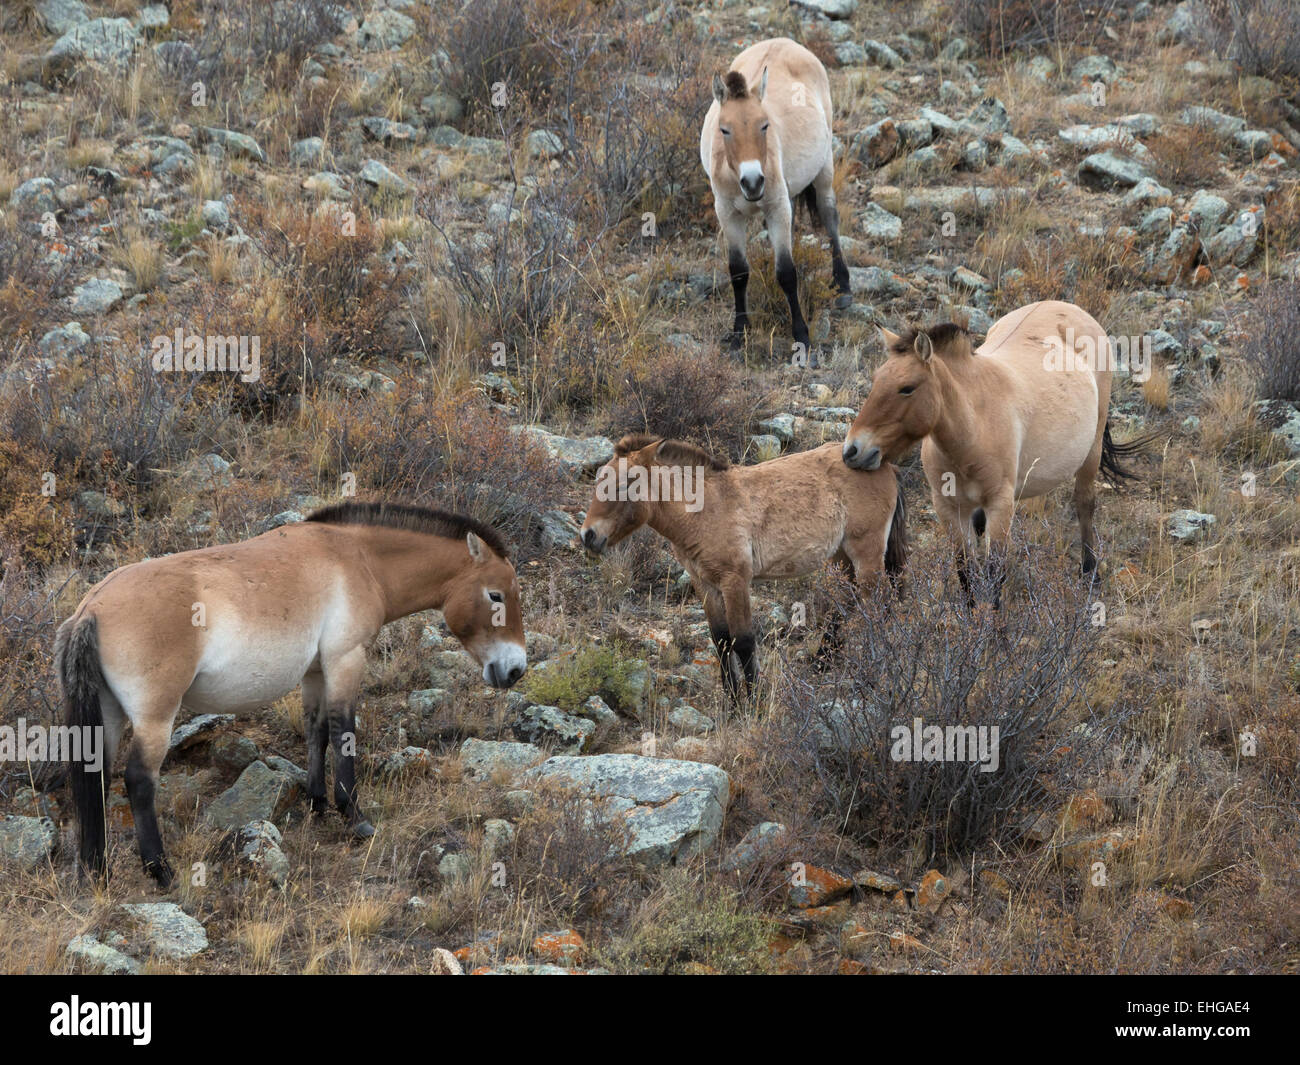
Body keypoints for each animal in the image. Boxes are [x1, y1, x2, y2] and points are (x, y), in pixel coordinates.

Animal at [56, 502, 526, 888]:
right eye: (495, 595)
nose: (515, 669)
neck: (358, 559)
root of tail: (91, 608)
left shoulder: (316, 670)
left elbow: (316, 730)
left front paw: (317, 803)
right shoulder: (345, 659)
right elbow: (343, 731)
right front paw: (354, 818)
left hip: (110, 713)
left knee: (97, 773)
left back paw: (96, 870)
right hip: (155, 715)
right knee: (139, 780)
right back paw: (160, 871)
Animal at [580, 434, 905, 699]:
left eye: (624, 484)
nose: (588, 536)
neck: (704, 510)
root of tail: (885, 465)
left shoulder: (735, 581)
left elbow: (744, 640)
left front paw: (754, 701)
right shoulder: (704, 582)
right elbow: (720, 639)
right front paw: (733, 700)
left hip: (866, 553)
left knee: (878, 607)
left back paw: (878, 670)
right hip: (841, 555)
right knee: (847, 601)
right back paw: (823, 660)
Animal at [700, 37, 851, 365]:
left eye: (764, 125)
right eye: (724, 129)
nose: (753, 181)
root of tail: (786, 42)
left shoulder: (775, 207)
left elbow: (786, 272)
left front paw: (802, 337)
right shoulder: (727, 213)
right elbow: (738, 271)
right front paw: (739, 334)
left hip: (824, 167)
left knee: (829, 216)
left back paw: (843, 284)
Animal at [841, 300, 1150, 600]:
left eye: (907, 388)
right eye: (875, 380)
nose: (852, 451)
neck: (974, 428)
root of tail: (1070, 308)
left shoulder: (1000, 505)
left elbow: (994, 574)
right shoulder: (949, 508)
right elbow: (965, 572)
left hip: (1092, 450)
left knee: (1085, 504)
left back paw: (1089, 573)